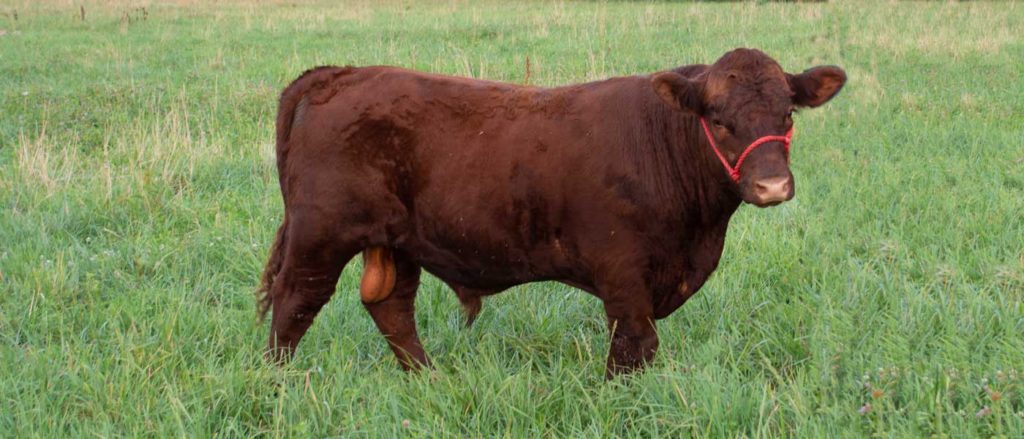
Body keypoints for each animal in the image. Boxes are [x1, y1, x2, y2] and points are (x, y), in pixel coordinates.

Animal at [257, 48, 846, 378]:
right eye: (719, 119)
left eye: (787, 113)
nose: (772, 185)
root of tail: (338, 74)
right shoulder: (623, 272)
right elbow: (635, 345)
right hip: (320, 232)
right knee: (296, 303)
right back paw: (275, 382)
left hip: (397, 242)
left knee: (391, 307)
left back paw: (427, 379)